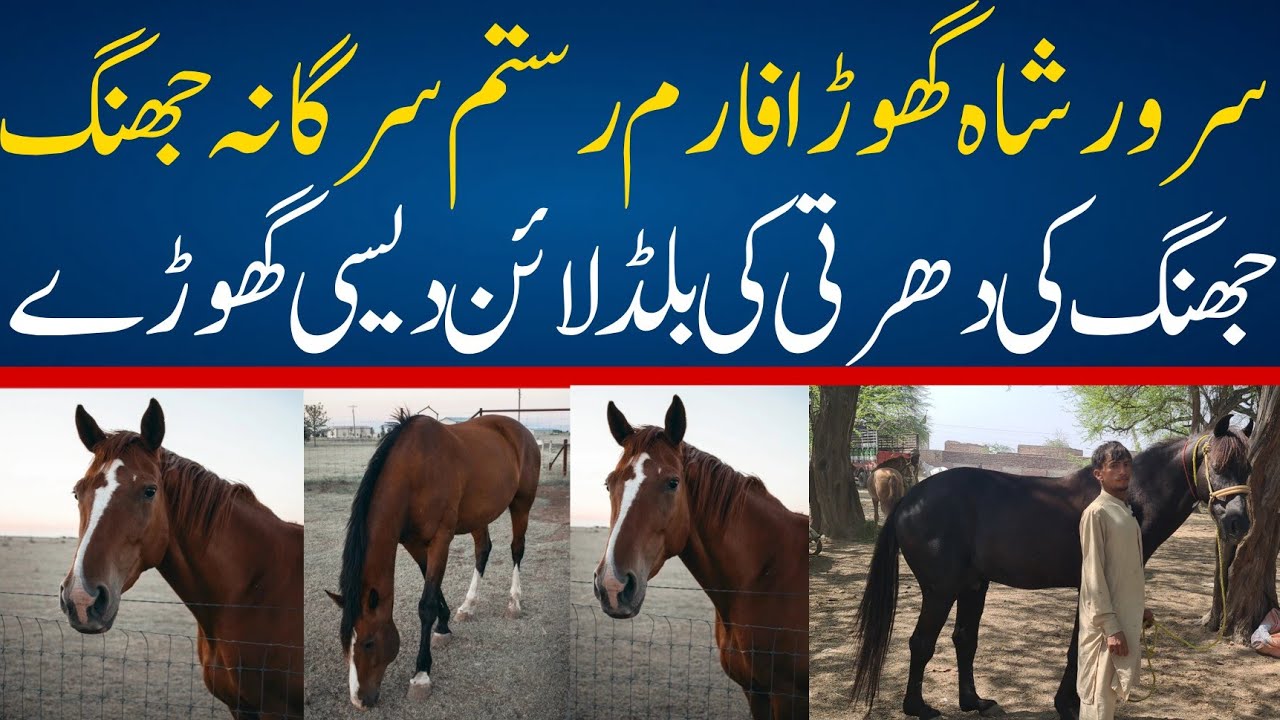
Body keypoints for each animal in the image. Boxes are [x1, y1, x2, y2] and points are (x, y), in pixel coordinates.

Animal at [325, 410, 540, 709]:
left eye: (369, 642)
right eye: (346, 644)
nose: (359, 701)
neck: (415, 471)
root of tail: (521, 431)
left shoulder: (441, 539)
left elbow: (426, 603)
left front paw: (421, 674)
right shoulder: (412, 543)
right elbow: (433, 585)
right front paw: (444, 625)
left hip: (522, 503)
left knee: (517, 550)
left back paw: (514, 602)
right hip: (479, 515)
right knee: (483, 550)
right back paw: (468, 606)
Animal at [593, 395, 809, 719]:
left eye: (673, 482)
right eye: (609, 483)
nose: (613, 585)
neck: (764, 576)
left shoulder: (786, 696)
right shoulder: (755, 692)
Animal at [852, 415, 1252, 720]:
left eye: (1247, 467)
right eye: (1217, 465)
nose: (1238, 523)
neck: (1126, 497)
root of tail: (909, 499)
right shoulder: (1092, 586)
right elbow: (1081, 645)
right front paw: (1069, 706)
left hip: (973, 586)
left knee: (964, 639)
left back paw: (974, 702)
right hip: (940, 590)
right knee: (921, 642)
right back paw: (918, 708)